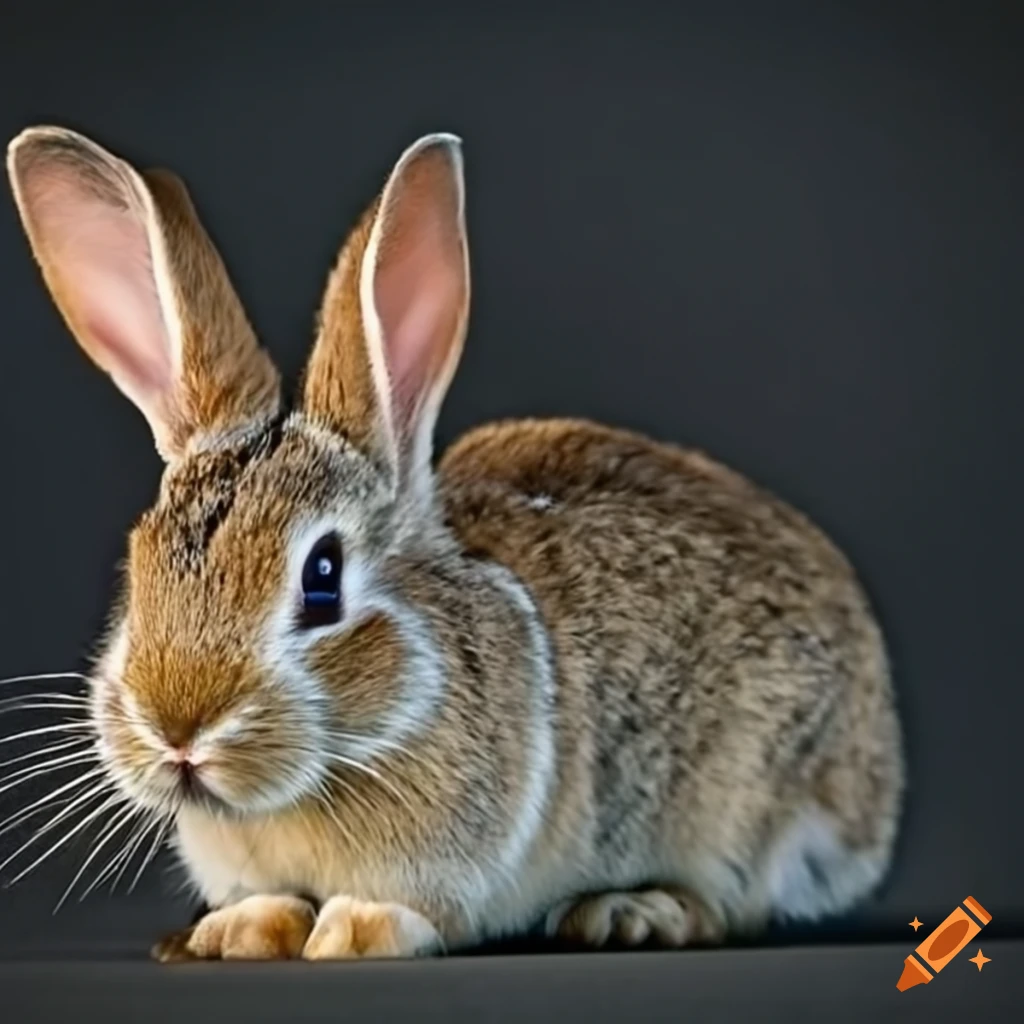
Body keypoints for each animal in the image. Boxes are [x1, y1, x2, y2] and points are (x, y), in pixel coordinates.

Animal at [5, 124, 904, 961]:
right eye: (138, 566)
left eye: (322, 577)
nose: (179, 731)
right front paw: (241, 930)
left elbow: (413, 912)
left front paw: (354, 931)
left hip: (749, 799)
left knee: (733, 900)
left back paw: (634, 911)